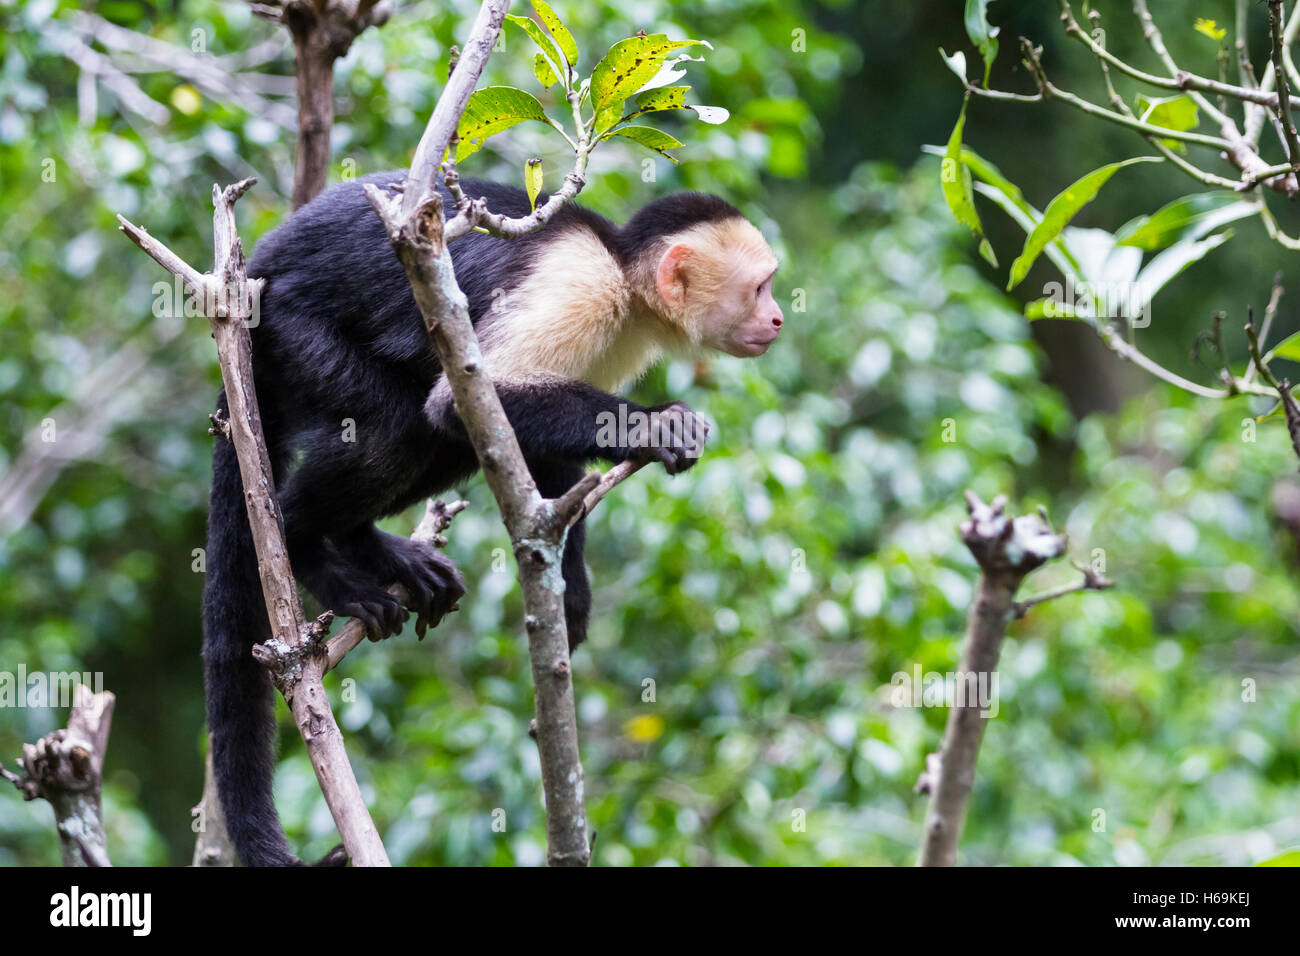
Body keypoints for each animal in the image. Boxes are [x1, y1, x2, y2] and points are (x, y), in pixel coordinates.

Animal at [202, 172, 784, 866]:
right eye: (760, 287)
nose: (778, 318)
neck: (624, 278)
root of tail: (245, 285)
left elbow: (544, 465)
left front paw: (570, 594)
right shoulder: (578, 284)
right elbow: (465, 401)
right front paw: (656, 425)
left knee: (438, 437)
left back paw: (368, 545)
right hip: (289, 328)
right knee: (400, 427)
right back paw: (304, 546)